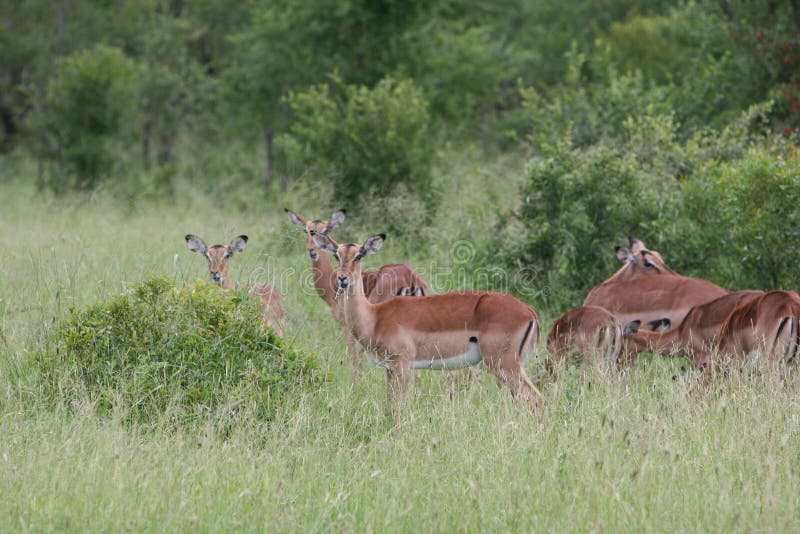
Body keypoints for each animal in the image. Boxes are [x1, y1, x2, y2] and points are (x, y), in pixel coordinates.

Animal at [313, 232, 545, 423]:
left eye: (359, 255)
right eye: (337, 255)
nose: (343, 278)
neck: (375, 317)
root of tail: (530, 313)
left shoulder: (402, 365)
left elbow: (397, 409)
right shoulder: (389, 369)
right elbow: (389, 407)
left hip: (504, 366)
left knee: (537, 400)